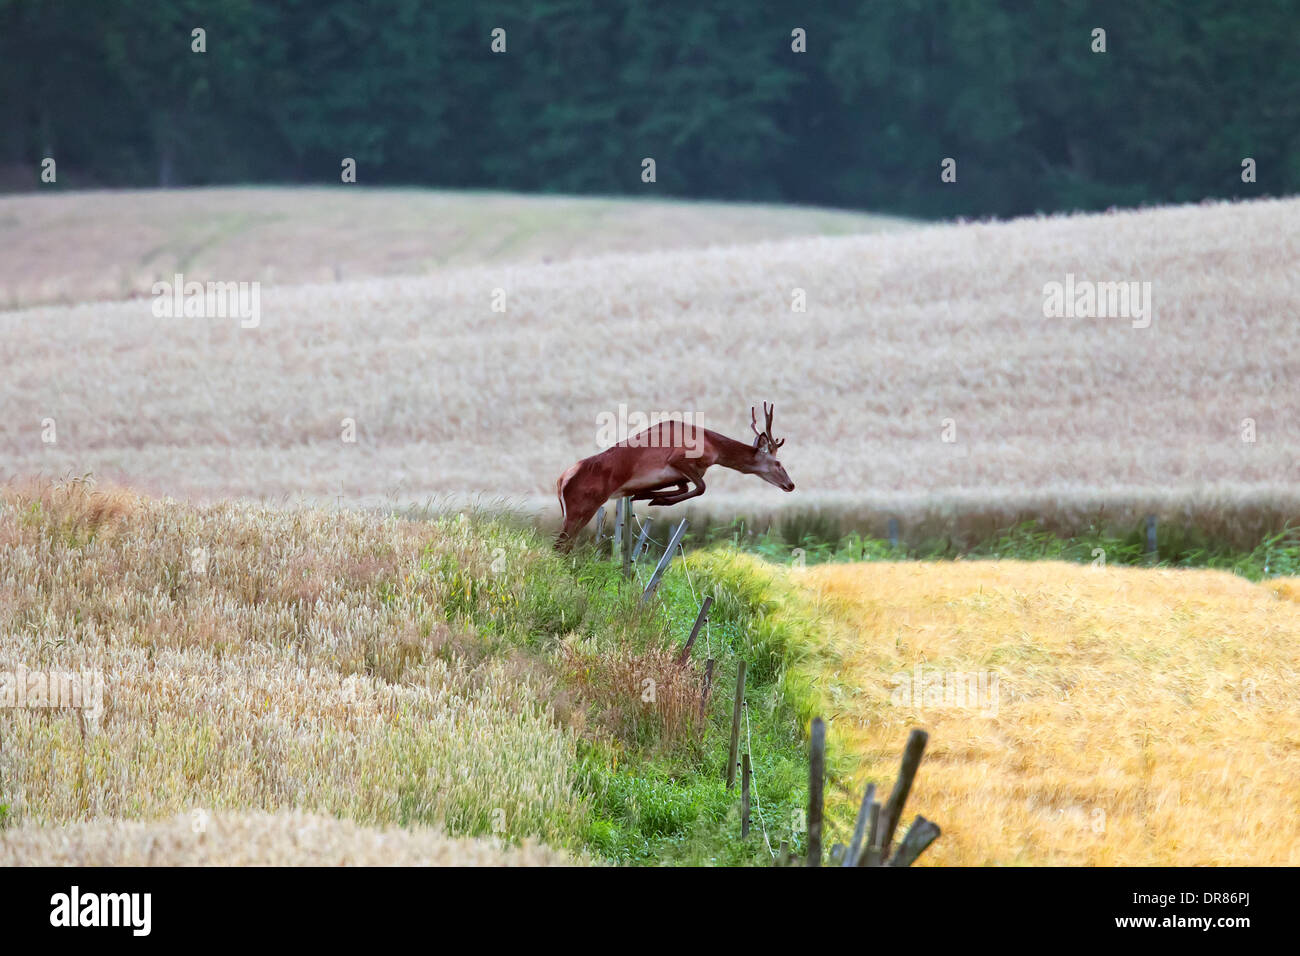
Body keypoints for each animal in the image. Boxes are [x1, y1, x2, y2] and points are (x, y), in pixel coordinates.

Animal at [555, 402, 795, 551]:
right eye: (778, 463)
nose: (791, 484)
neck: (713, 447)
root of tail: (561, 480)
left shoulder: (678, 475)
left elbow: (685, 487)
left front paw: (645, 495)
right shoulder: (678, 458)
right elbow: (701, 487)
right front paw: (656, 499)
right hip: (582, 506)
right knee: (560, 546)